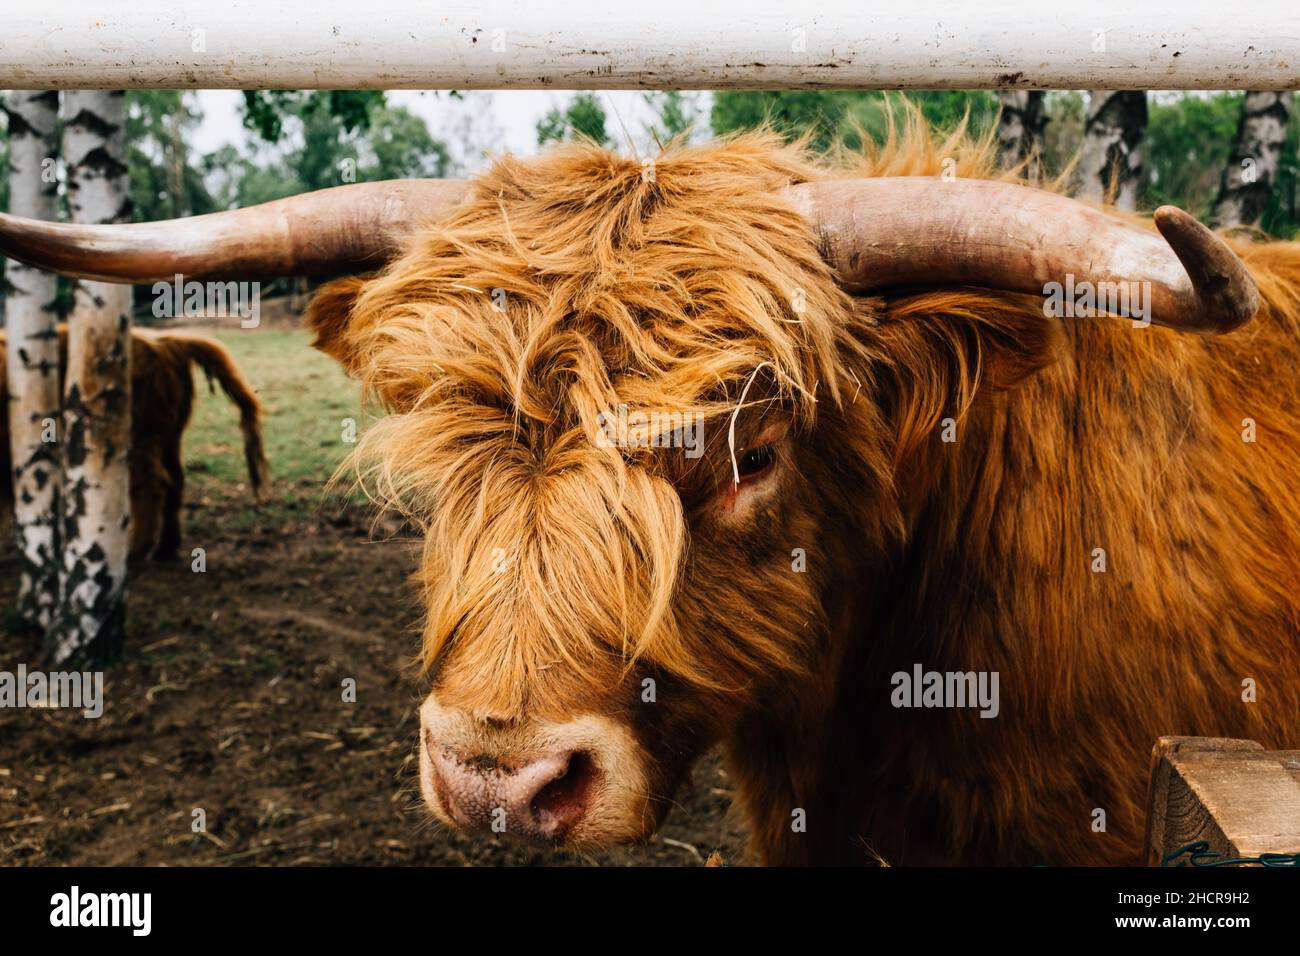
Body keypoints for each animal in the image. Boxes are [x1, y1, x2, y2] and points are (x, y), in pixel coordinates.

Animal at [1, 328, 268, 560]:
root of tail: (165, 343)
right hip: (170, 438)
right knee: (175, 480)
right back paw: (166, 548)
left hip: (136, 440)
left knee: (151, 484)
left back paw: (137, 550)